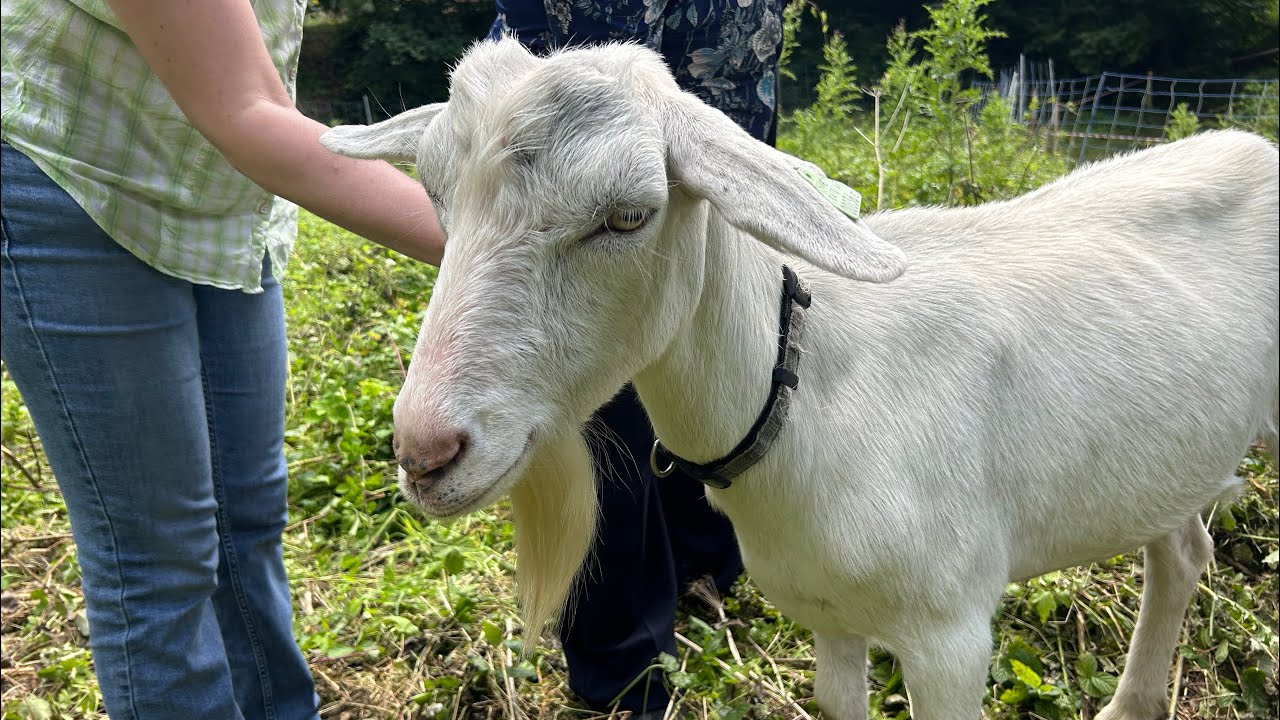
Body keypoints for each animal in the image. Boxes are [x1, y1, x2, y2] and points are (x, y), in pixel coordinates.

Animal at [322, 38, 1279, 720]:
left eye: (628, 215)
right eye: (437, 199)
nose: (426, 452)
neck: (807, 393)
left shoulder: (951, 638)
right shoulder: (829, 619)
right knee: (1181, 552)